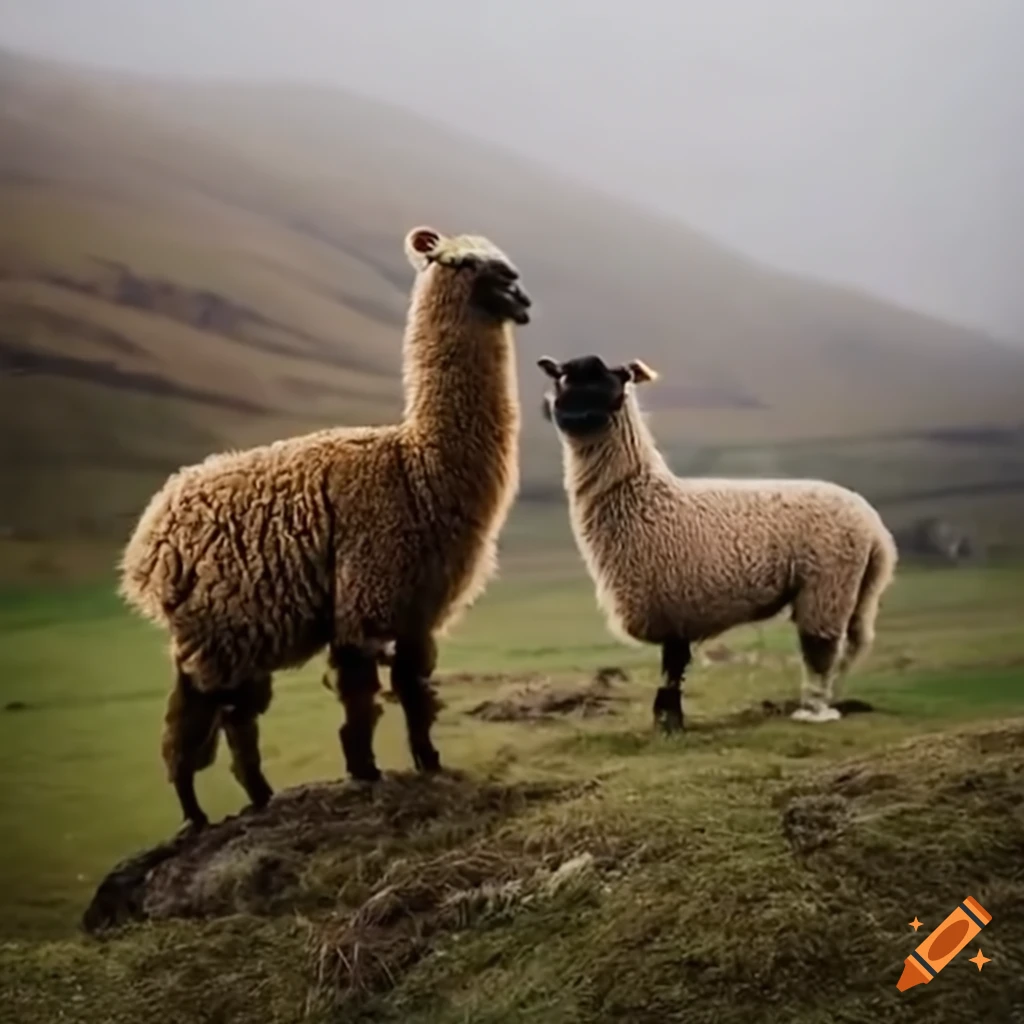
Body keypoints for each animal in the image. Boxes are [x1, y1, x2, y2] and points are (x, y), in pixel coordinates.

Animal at [119, 226, 531, 830]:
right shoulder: (366, 592)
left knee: (227, 715)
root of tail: (151, 536)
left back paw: (253, 798)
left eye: (504, 262)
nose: (519, 295)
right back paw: (200, 813)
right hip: (217, 628)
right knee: (202, 717)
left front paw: (429, 762)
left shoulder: (418, 604)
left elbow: (413, 688)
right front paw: (366, 772)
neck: (417, 466)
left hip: (231, 632)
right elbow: (360, 696)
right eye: (461, 263)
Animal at [537, 353, 897, 731]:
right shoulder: (675, 609)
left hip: (828, 580)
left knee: (820, 648)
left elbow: (672, 668)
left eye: (614, 381)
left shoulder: (673, 603)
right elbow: (672, 668)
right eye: (561, 379)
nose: (573, 415)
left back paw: (813, 710)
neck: (645, 499)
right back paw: (833, 700)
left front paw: (669, 724)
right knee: (852, 645)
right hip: (857, 586)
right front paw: (668, 722)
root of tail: (874, 526)